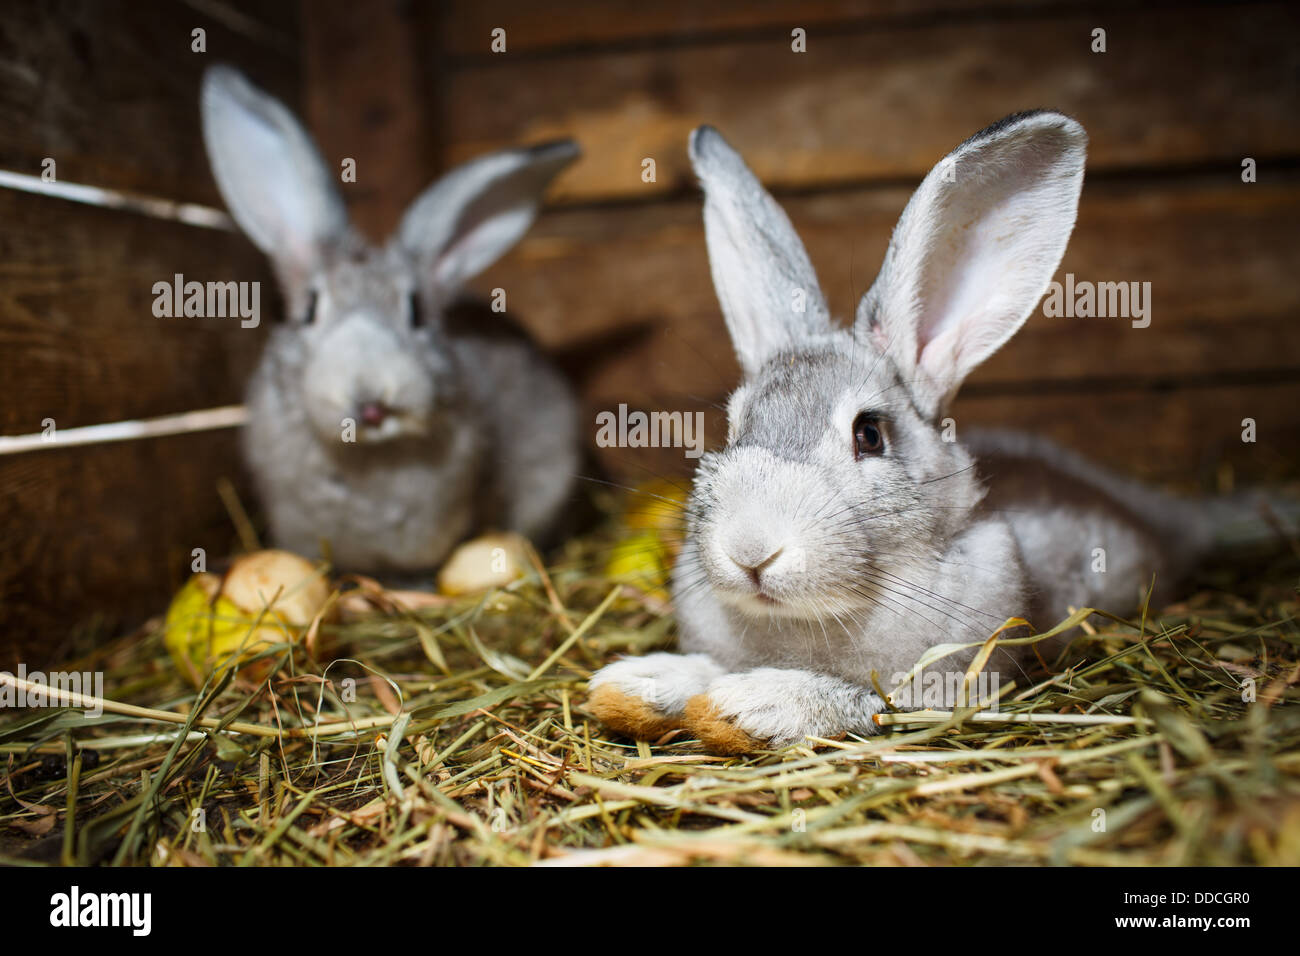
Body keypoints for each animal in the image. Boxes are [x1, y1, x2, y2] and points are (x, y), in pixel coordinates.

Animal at [587, 112, 1275, 753]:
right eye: (733, 425)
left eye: (870, 435)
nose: (751, 549)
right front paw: (633, 687)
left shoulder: (943, 683)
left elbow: (865, 700)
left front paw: (747, 707)